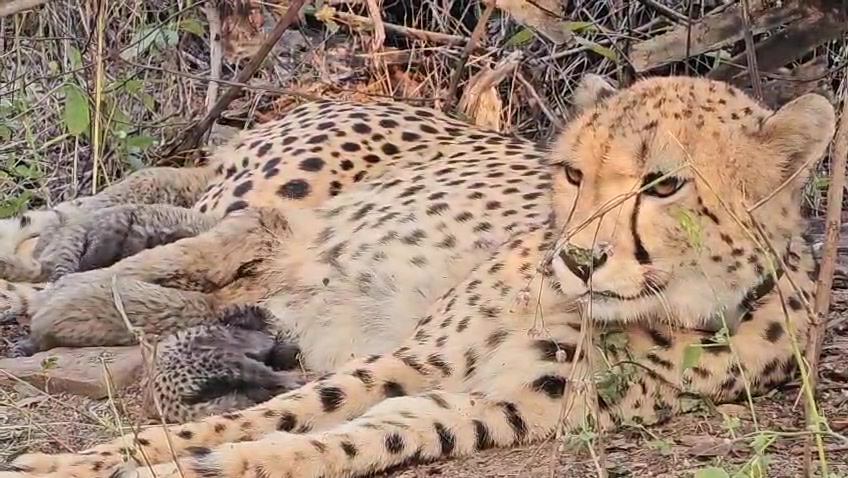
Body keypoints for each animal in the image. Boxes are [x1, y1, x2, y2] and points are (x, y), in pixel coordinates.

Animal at [0, 73, 833, 478]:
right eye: (573, 173)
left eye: (664, 186)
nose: (578, 259)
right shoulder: (416, 358)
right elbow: (264, 414)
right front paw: (85, 463)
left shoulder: (493, 406)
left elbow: (344, 440)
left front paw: (219, 465)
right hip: (274, 200)